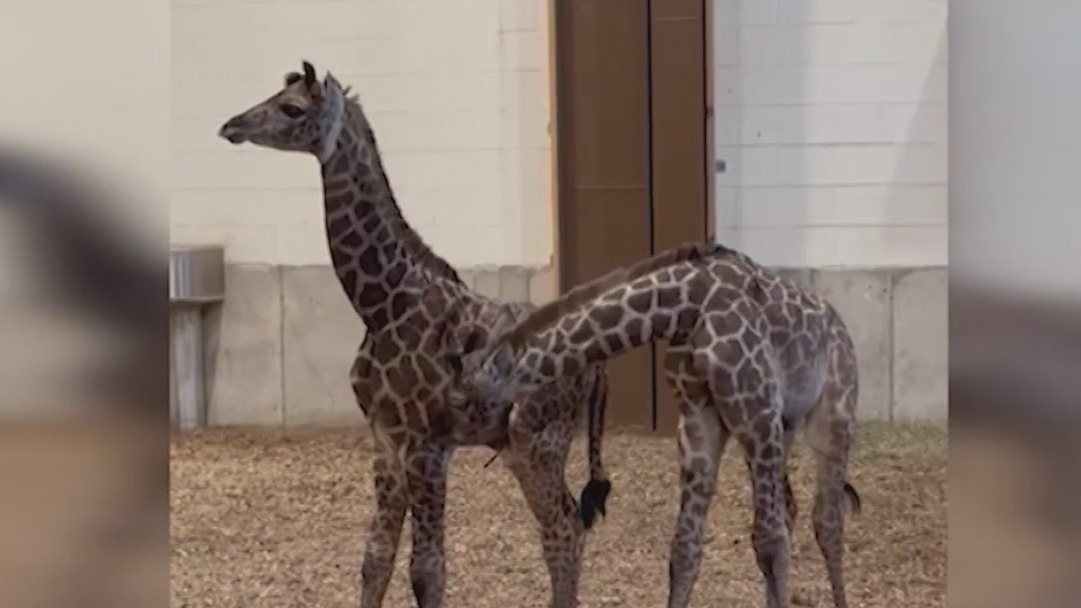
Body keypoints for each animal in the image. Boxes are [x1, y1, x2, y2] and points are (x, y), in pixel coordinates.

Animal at [217, 61, 612, 608]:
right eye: (275, 96)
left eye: (292, 108)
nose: (230, 126)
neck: (381, 304)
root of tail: (597, 363)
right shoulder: (385, 438)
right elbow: (375, 559)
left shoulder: (429, 444)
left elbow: (426, 570)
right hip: (518, 446)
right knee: (566, 526)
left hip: (540, 440)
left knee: (563, 529)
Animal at [445, 241, 863, 608]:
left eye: (473, 398)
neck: (688, 303)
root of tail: (840, 324)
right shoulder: (699, 422)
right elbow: (684, 548)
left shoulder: (757, 414)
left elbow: (769, 541)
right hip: (785, 425)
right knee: (793, 509)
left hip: (832, 415)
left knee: (827, 520)